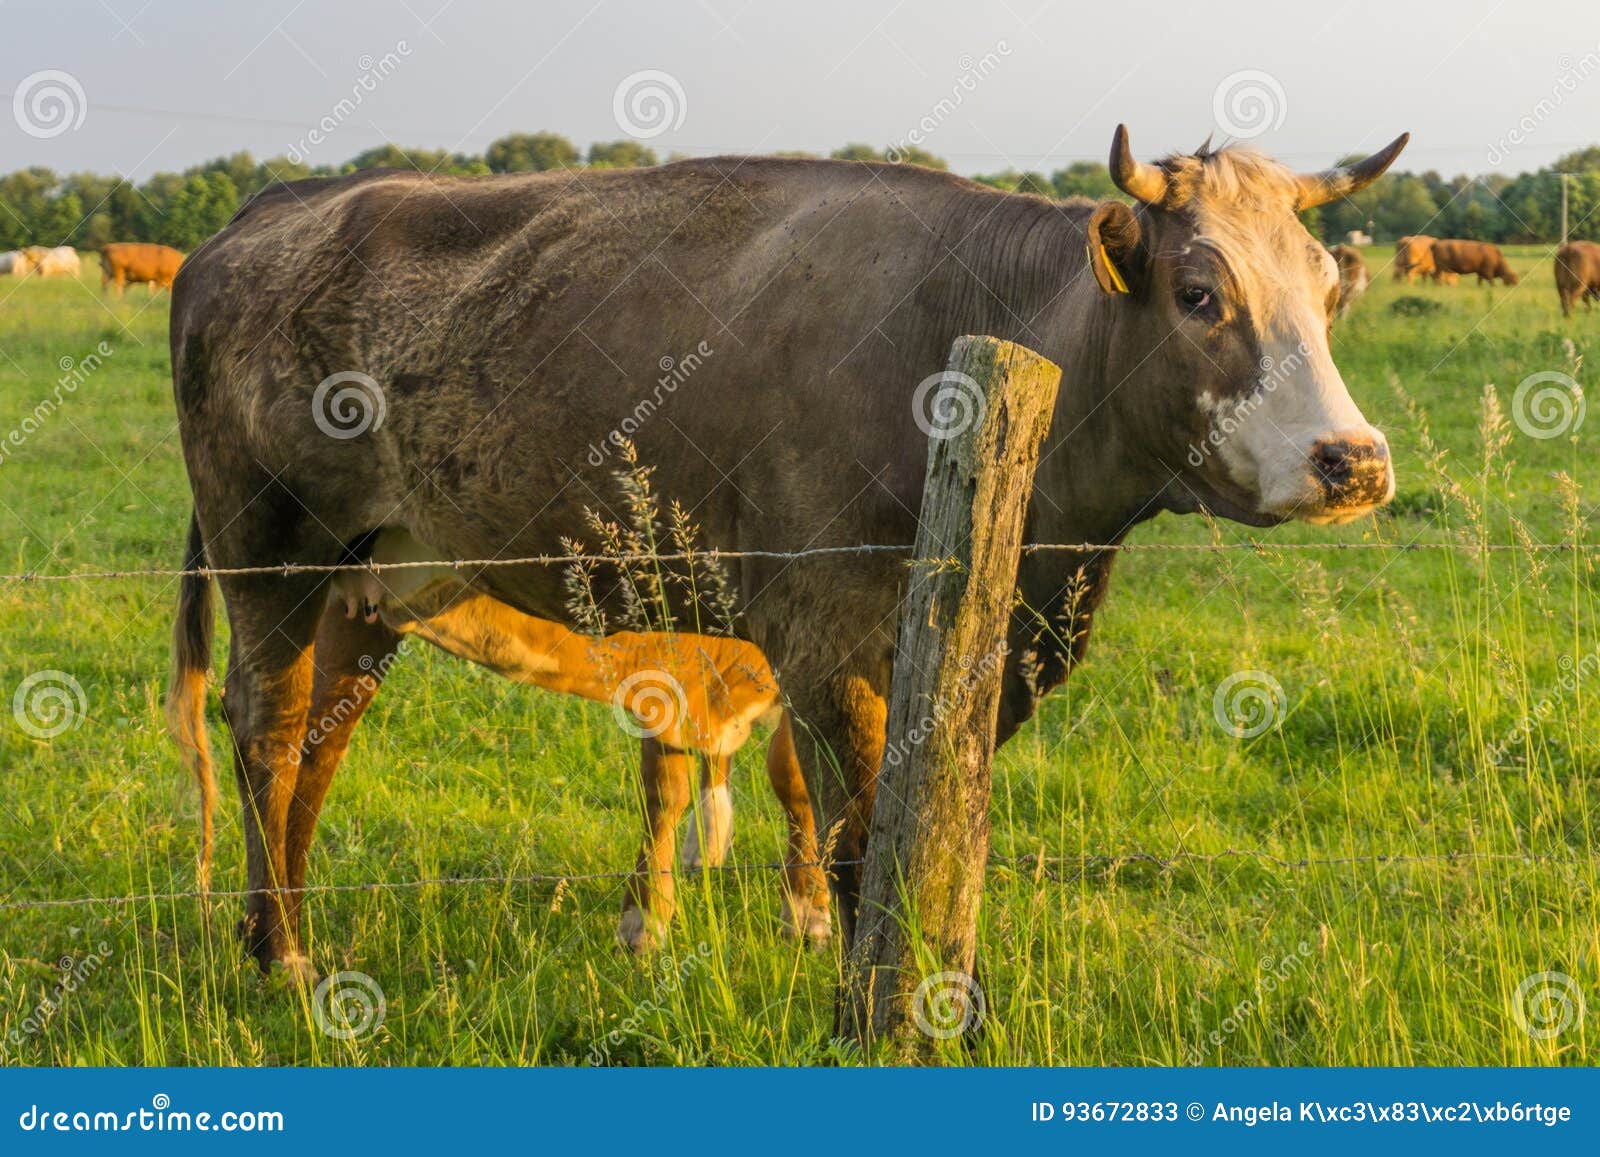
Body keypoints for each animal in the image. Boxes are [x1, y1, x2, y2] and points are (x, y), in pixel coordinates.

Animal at [165, 125, 1405, 978]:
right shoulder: (822, 637)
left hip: (370, 580)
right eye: (1198, 292)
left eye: (1327, 289)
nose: (1353, 459)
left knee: (318, 748)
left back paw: (275, 930)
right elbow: (858, 838)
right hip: (268, 547)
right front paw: (881, 1005)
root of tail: (268, 210)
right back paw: (282, 961)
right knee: (267, 732)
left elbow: (934, 825)